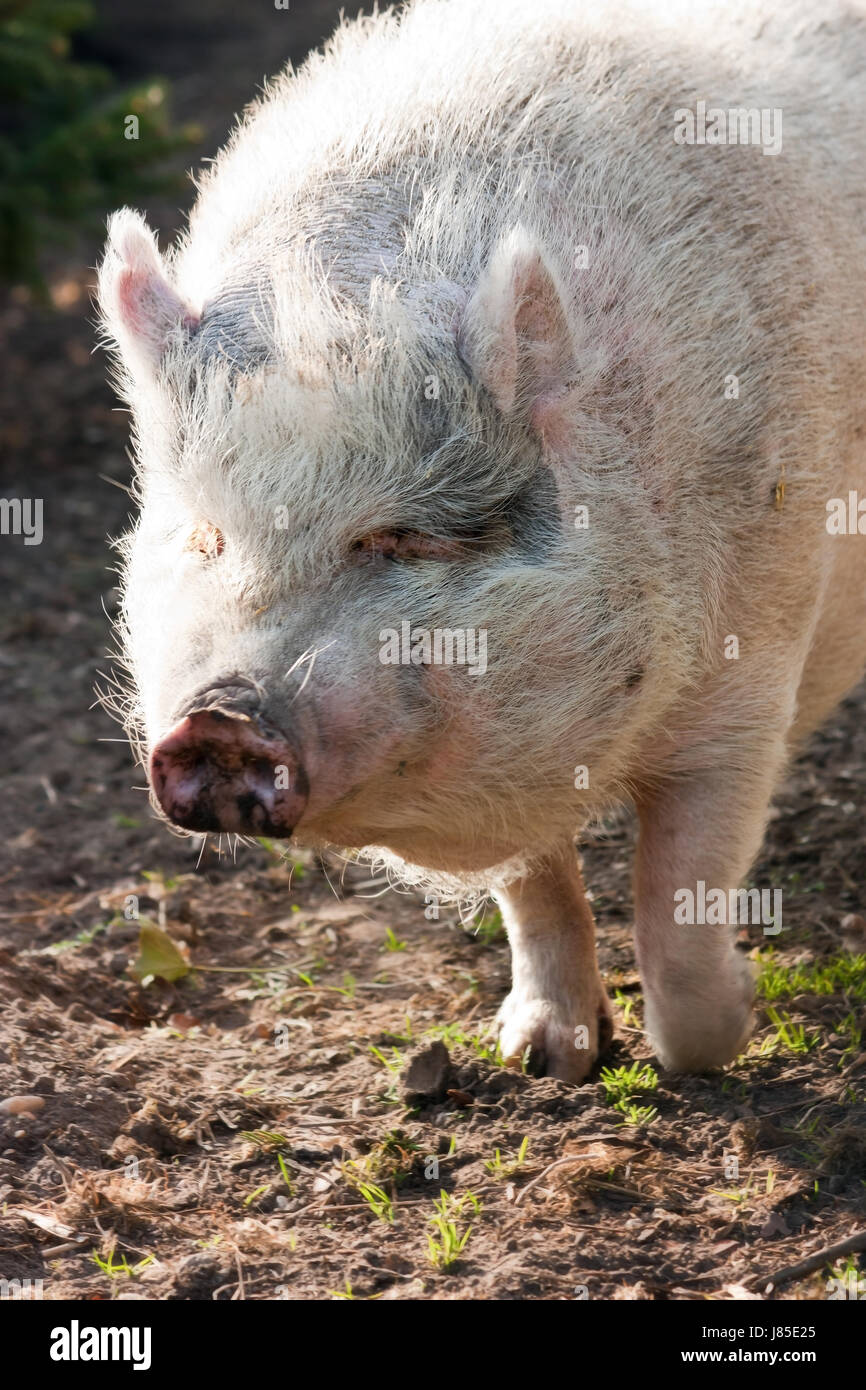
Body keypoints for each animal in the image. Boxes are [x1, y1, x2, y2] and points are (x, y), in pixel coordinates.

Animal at [97, 0, 866, 1083]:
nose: (218, 719)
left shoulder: (752, 674)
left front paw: (717, 1037)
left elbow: (681, 892)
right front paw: (543, 1058)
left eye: (402, 536)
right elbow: (532, 889)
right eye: (207, 536)